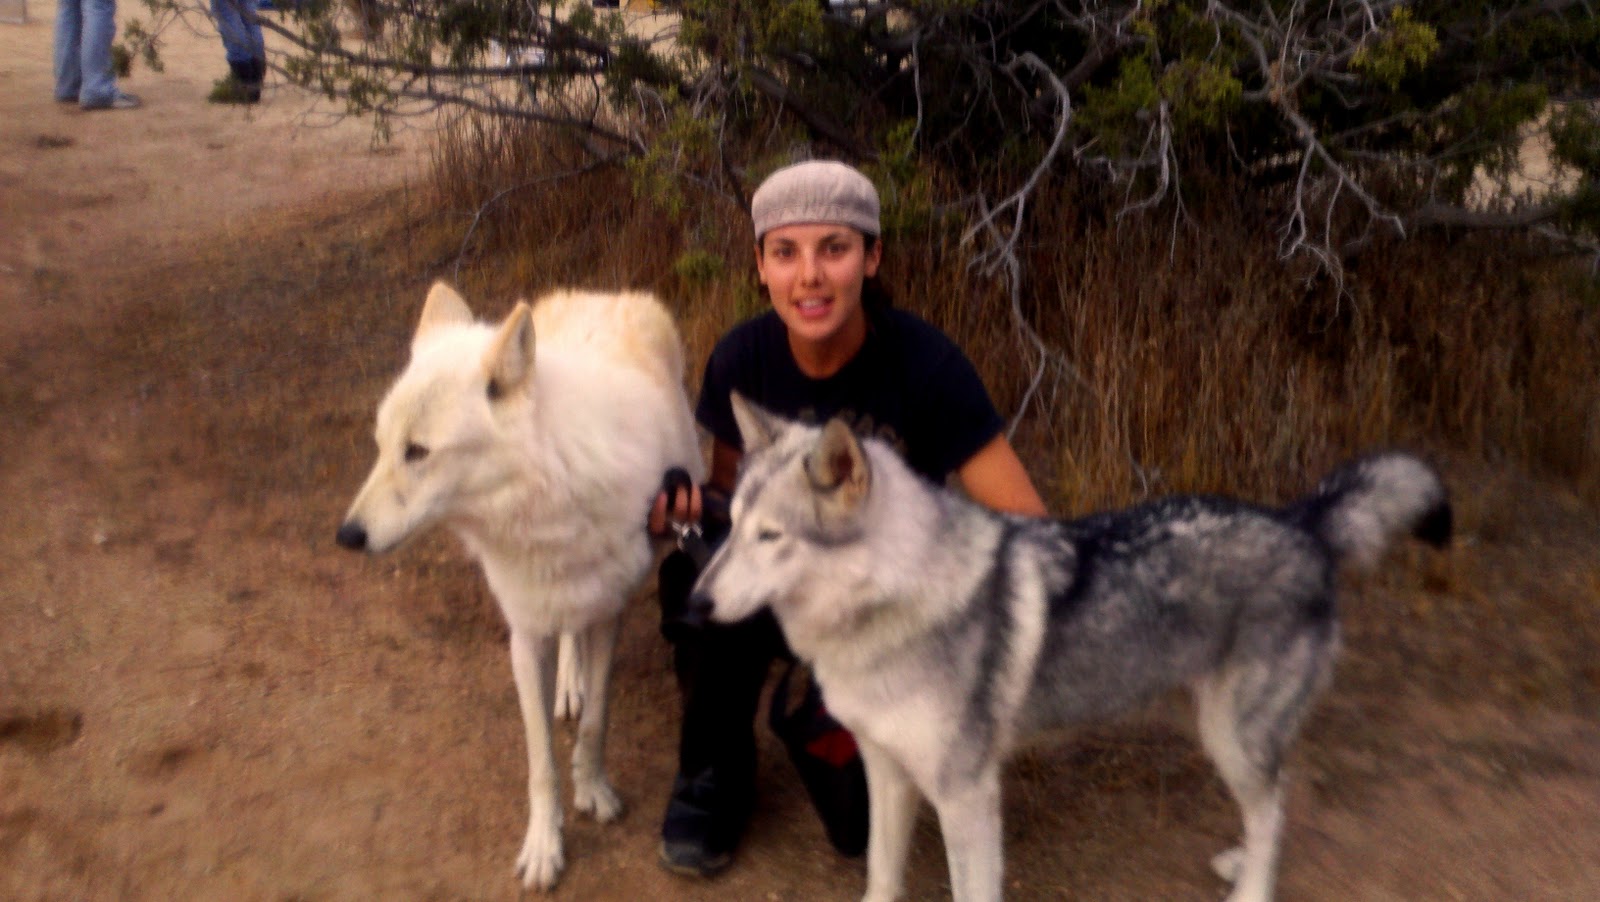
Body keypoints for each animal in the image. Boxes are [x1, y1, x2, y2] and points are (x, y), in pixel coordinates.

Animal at [336, 281, 703, 890]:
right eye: (383, 445)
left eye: (417, 451)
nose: (346, 535)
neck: (546, 495)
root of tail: (597, 292)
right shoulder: (526, 635)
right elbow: (540, 763)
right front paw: (544, 846)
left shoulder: (609, 610)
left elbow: (597, 723)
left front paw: (594, 790)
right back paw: (567, 689)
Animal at [689, 395, 1451, 902]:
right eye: (729, 524)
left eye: (769, 537)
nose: (694, 604)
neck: (893, 598)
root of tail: (1301, 522)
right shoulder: (887, 772)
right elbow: (881, 873)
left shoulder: (967, 795)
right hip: (1215, 728)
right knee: (1270, 803)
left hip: (1231, 735)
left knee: (1275, 806)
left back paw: (1252, 889)